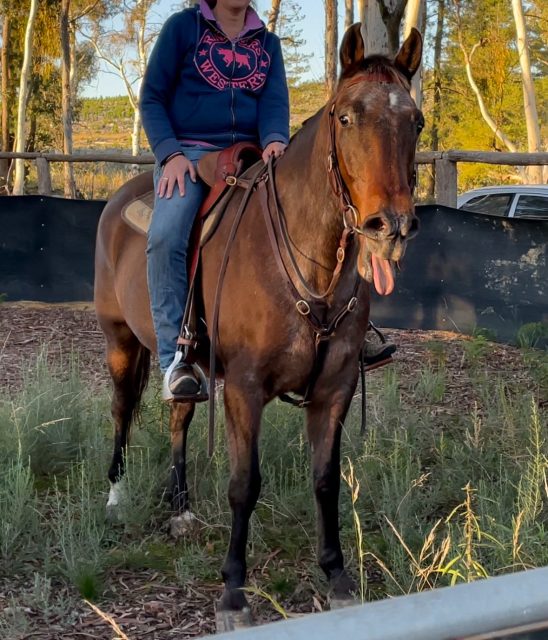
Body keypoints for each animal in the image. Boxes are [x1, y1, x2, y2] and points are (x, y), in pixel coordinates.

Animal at [94, 23, 423, 629]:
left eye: (416, 121)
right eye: (346, 116)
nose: (390, 225)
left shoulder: (335, 388)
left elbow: (325, 480)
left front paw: (337, 578)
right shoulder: (244, 390)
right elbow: (244, 485)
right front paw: (233, 593)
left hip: (189, 367)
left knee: (178, 413)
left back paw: (180, 508)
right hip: (120, 342)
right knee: (123, 411)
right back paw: (115, 498)